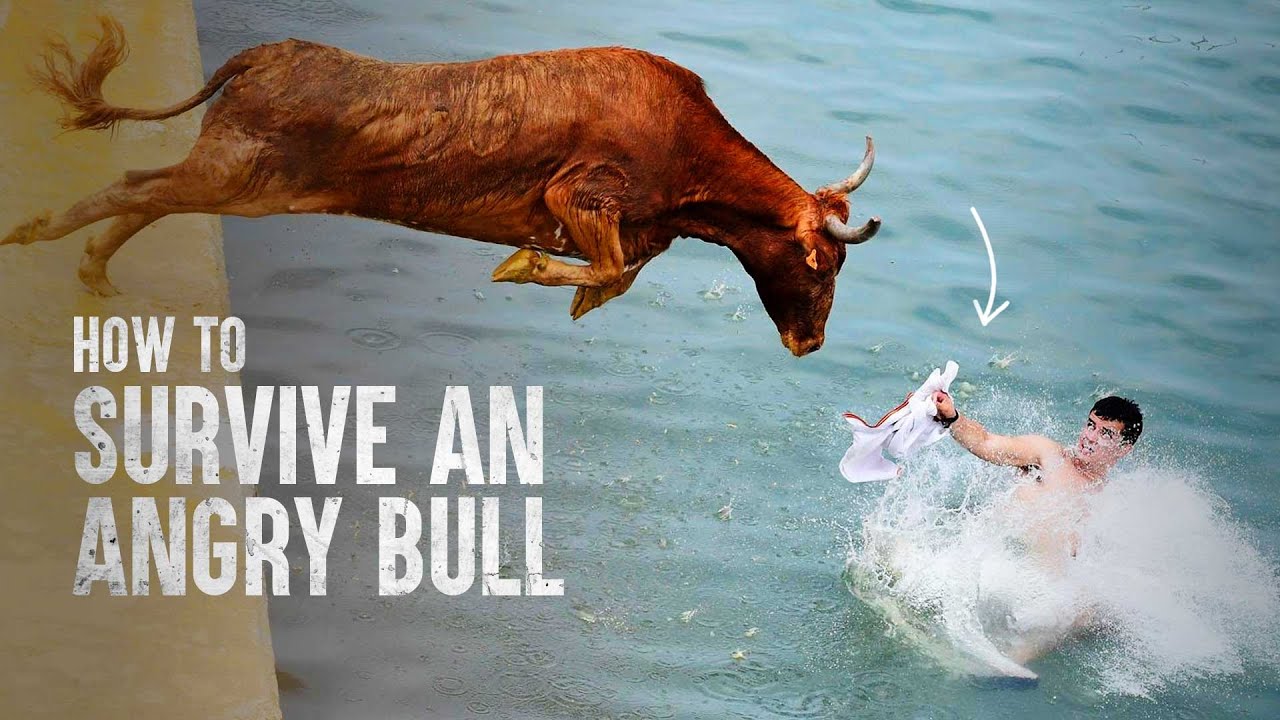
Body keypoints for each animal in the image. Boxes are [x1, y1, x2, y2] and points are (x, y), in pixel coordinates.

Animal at [2, 17, 880, 356]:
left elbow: (620, 275)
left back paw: (89, 269)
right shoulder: (579, 198)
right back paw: (39, 235)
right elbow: (605, 266)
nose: (812, 342)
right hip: (235, 172)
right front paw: (523, 266)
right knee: (135, 185)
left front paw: (574, 293)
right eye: (821, 266)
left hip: (234, 180)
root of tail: (262, 56)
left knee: (147, 193)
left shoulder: (627, 227)